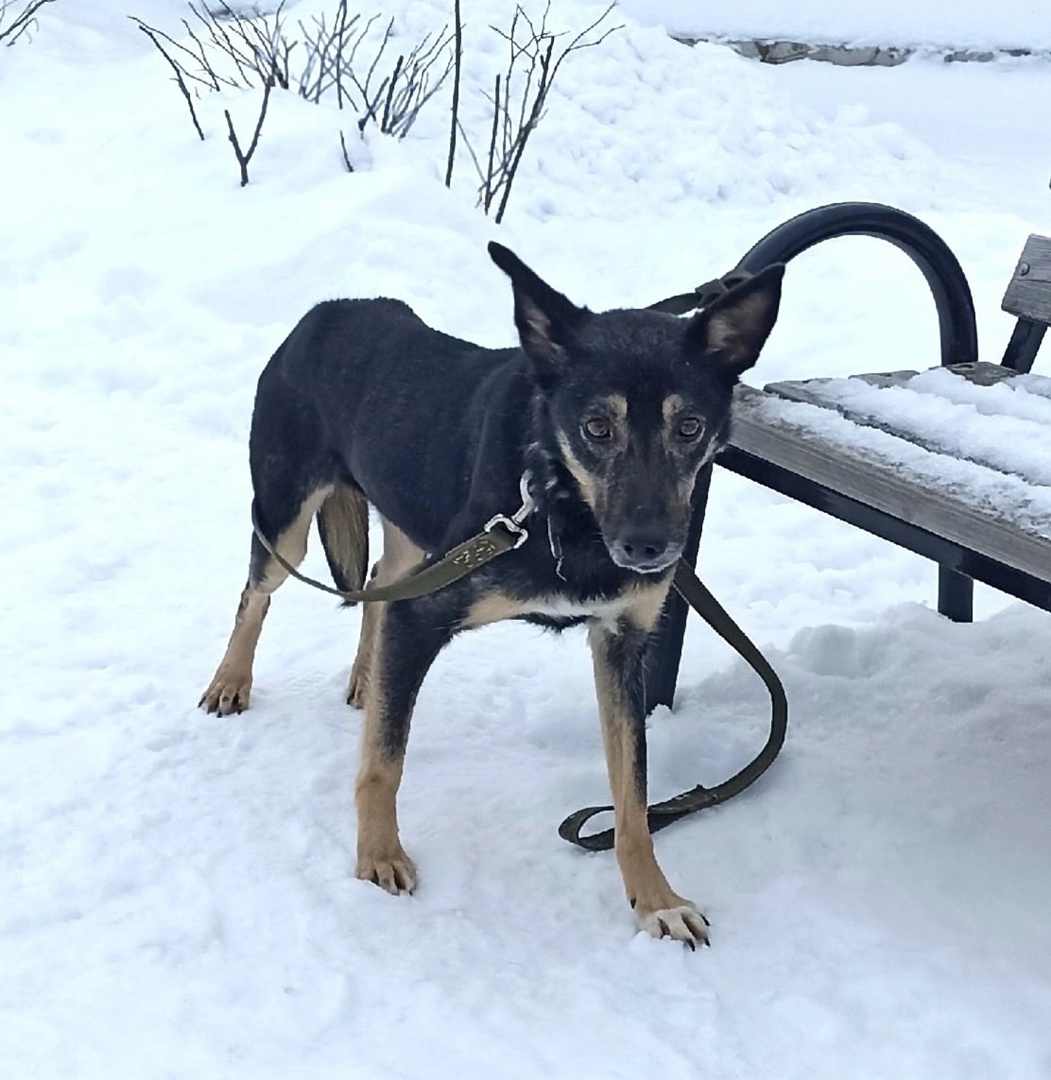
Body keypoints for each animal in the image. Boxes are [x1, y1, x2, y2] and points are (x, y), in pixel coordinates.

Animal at [200, 245, 782, 946]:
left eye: (690, 426)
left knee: (378, 582)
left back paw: (368, 677)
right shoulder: (425, 612)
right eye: (596, 427)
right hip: (286, 511)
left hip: (409, 528)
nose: (649, 549)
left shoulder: (620, 643)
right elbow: (384, 763)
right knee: (257, 592)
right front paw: (378, 858)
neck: (559, 505)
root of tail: (326, 310)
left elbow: (633, 797)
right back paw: (231, 682)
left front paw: (654, 899)